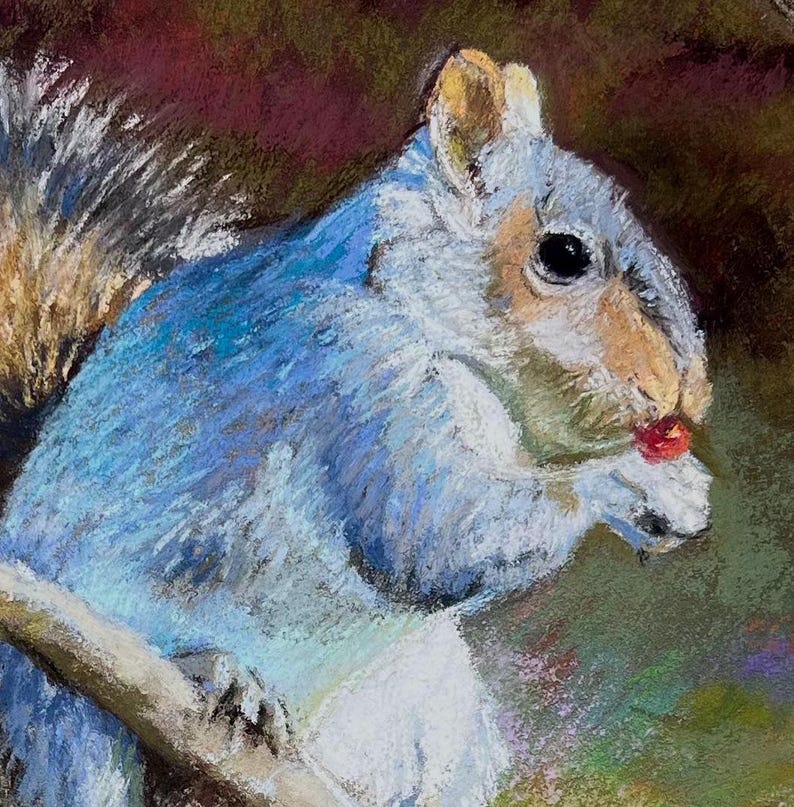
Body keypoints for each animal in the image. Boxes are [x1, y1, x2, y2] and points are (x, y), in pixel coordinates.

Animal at [0, 50, 712, 806]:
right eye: (565, 255)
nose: (693, 390)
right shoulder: (351, 375)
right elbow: (431, 532)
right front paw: (625, 482)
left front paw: (676, 491)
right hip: (65, 707)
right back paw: (222, 676)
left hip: (442, 723)